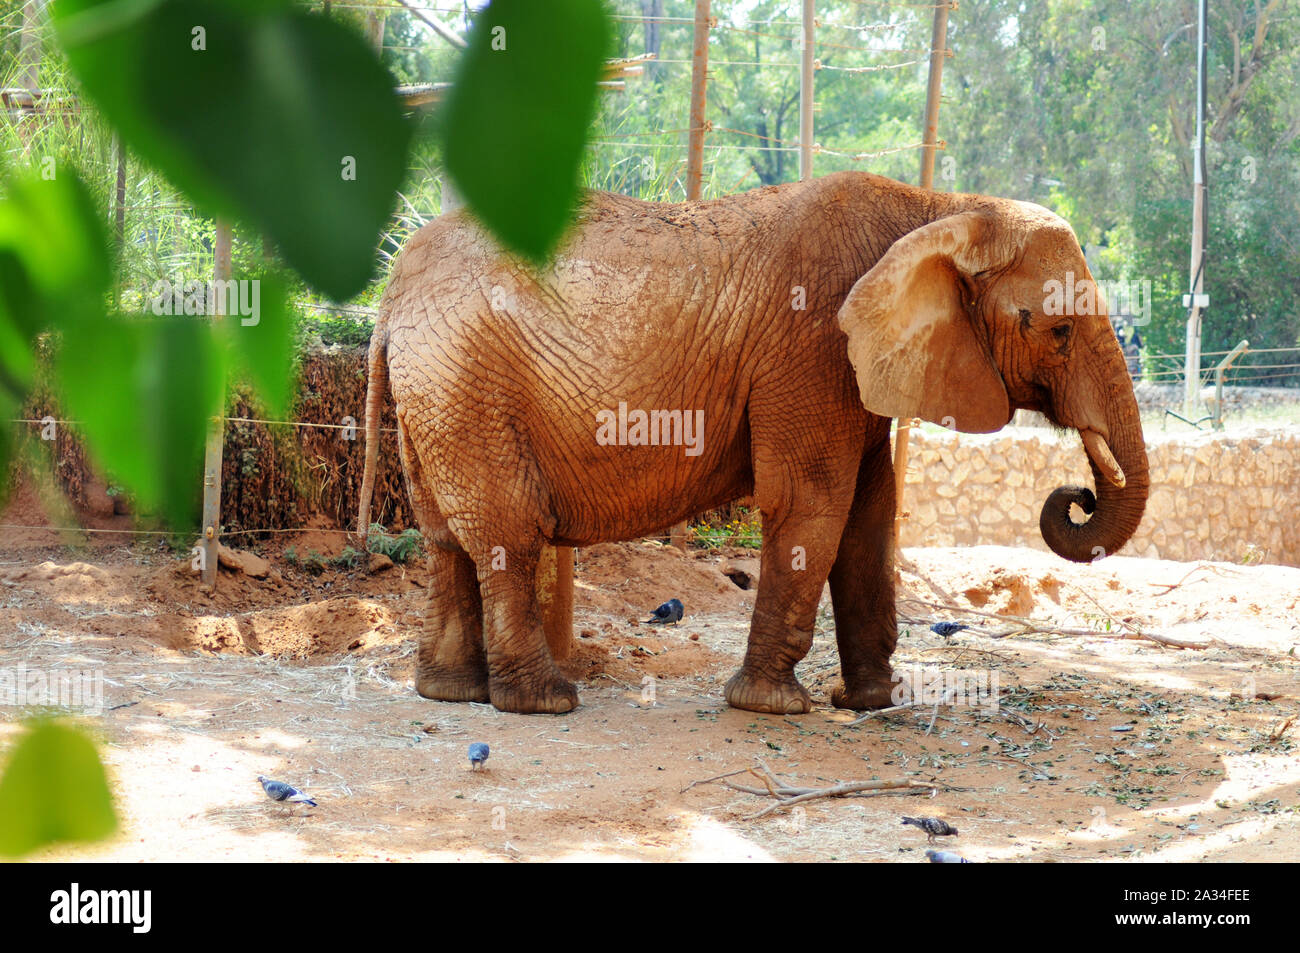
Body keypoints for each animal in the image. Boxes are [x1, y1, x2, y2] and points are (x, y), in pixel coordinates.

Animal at [356, 171, 1149, 715]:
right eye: (1057, 330)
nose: (1077, 496)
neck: (941, 209)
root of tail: (390, 297)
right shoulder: (812, 346)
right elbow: (812, 505)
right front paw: (774, 706)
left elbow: (868, 516)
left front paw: (873, 702)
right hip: (466, 381)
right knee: (508, 532)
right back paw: (544, 703)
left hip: (435, 394)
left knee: (445, 536)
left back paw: (450, 694)